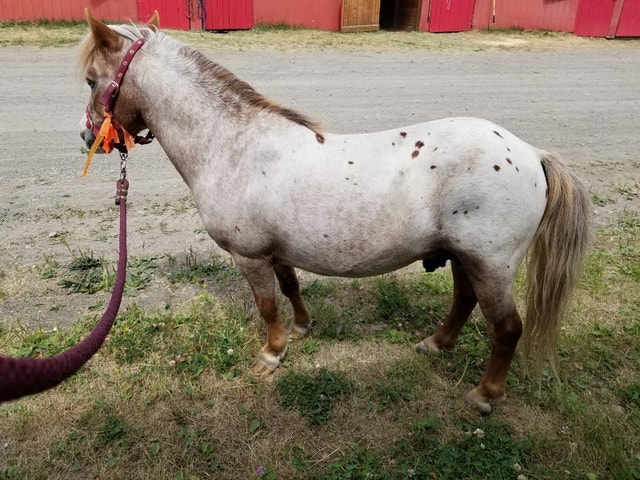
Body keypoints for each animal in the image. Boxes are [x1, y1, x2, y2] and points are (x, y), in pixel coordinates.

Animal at [77, 12, 591, 414]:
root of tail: (531, 153)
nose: (86, 137)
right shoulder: (275, 252)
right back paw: (435, 344)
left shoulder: (249, 256)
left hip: (491, 265)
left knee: (506, 329)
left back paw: (485, 395)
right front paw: (302, 328)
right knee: (464, 302)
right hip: (466, 258)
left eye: (91, 80)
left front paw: (272, 354)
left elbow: (267, 304)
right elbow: (290, 288)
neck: (233, 145)